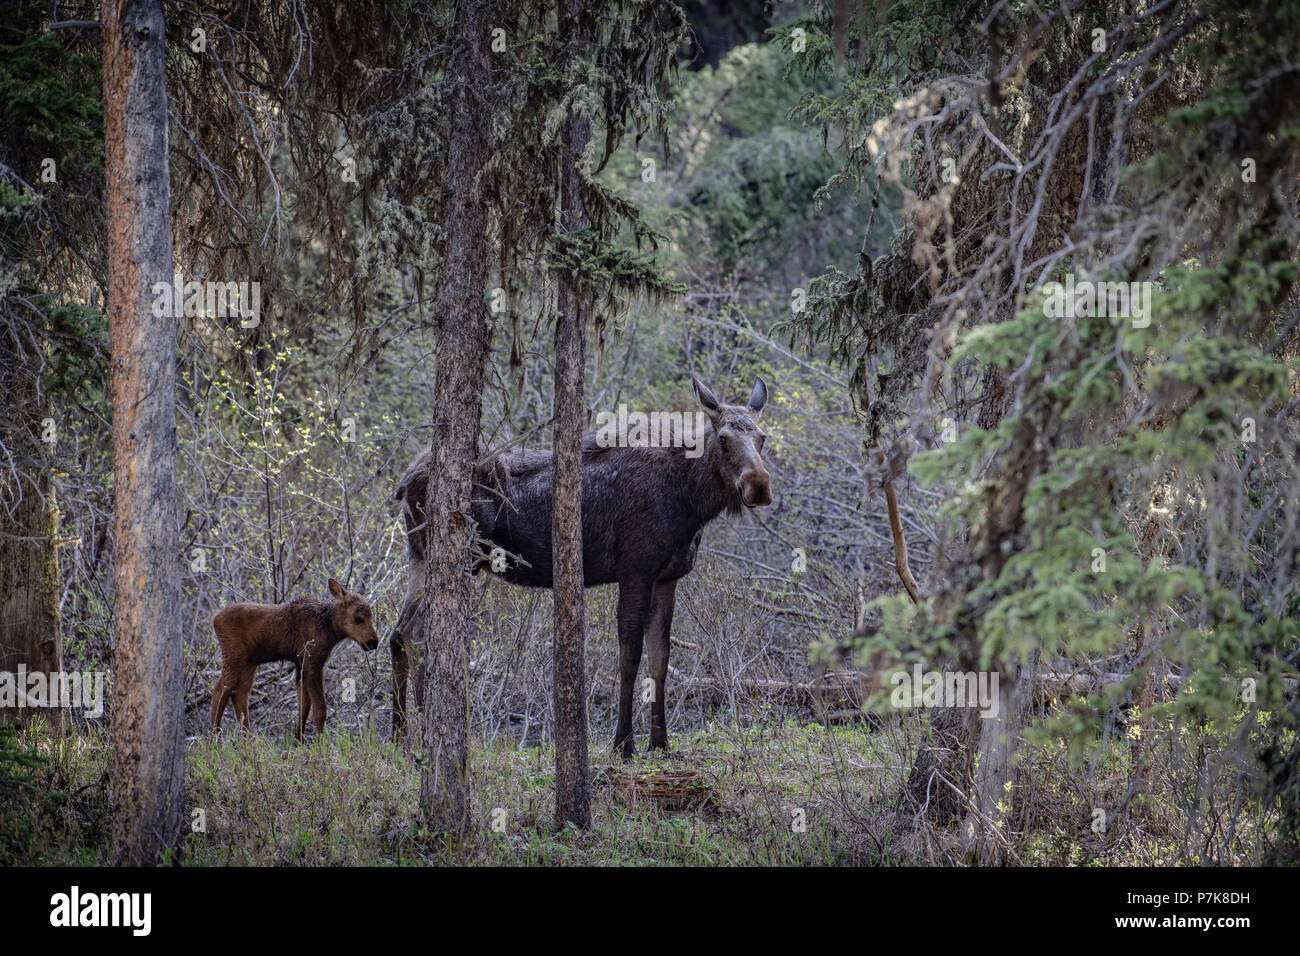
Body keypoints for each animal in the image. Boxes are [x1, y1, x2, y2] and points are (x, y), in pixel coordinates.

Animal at [210, 578, 380, 740]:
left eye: (371, 615)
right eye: (358, 618)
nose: (373, 642)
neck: (329, 629)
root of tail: (214, 619)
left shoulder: (300, 664)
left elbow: (304, 706)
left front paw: (298, 742)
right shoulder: (313, 662)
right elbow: (320, 708)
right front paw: (321, 745)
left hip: (250, 662)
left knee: (239, 693)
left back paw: (248, 743)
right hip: (234, 657)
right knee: (220, 691)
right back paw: (214, 741)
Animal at [389, 375, 773, 756]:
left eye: (762, 437)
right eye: (723, 437)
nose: (759, 486)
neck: (692, 502)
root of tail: (405, 481)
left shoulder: (668, 577)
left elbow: (660, 659)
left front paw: (660, 743)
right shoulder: (636, 569)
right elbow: (630, 656)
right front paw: (623, 744)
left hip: (419, 557)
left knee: (400, 632)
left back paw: (401, 736)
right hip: (456, 557)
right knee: (419, 633)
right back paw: (420, 732)